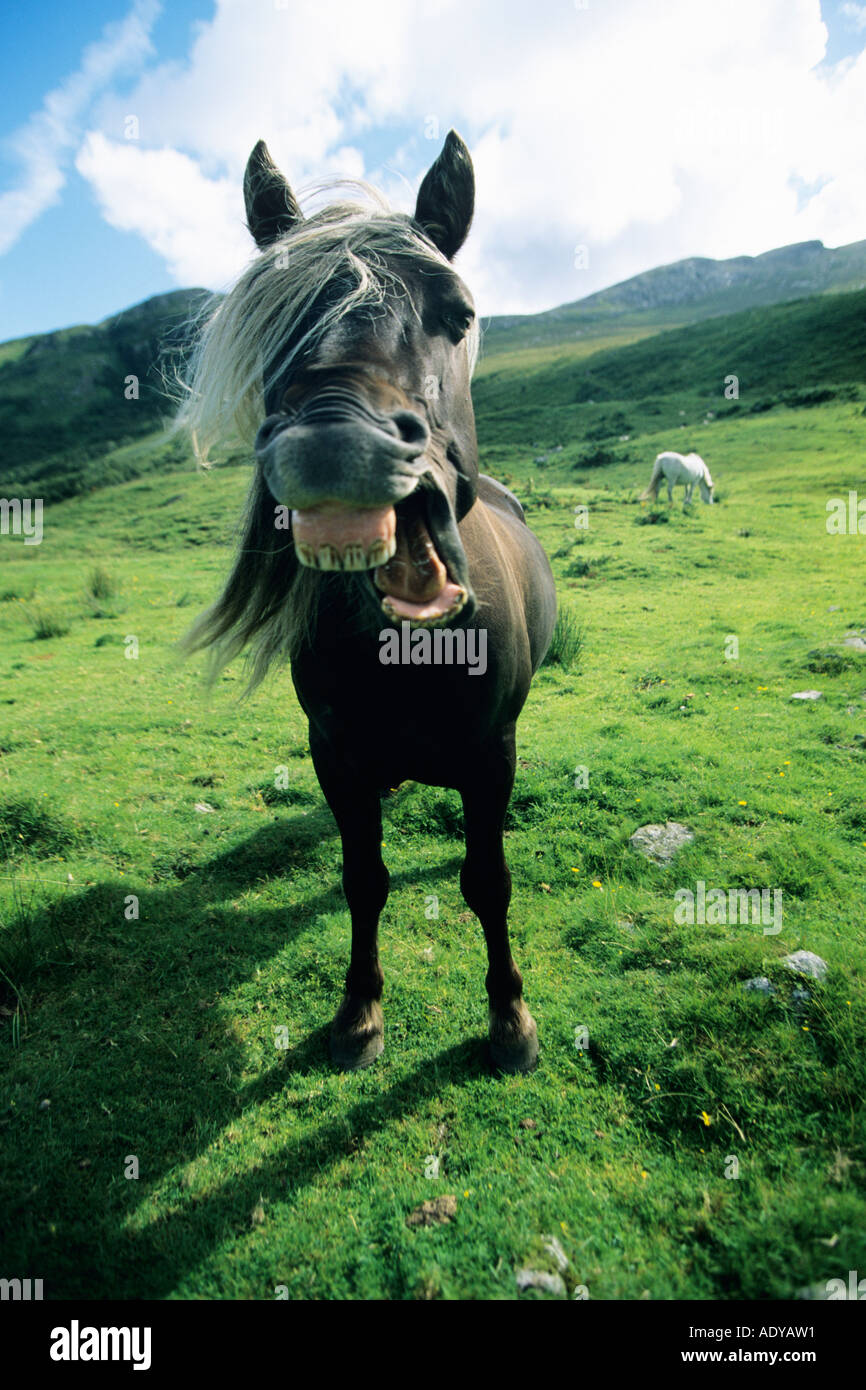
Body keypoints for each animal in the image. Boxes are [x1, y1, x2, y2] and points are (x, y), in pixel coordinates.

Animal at [178, 131, 557, 1074]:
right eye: (274, 325)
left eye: (458, 312)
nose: (335, 441)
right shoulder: (337, 756)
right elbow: (363, 879)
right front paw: (358, 1013)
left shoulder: (491, 756)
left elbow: (486, 881)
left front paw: (510, 1019)